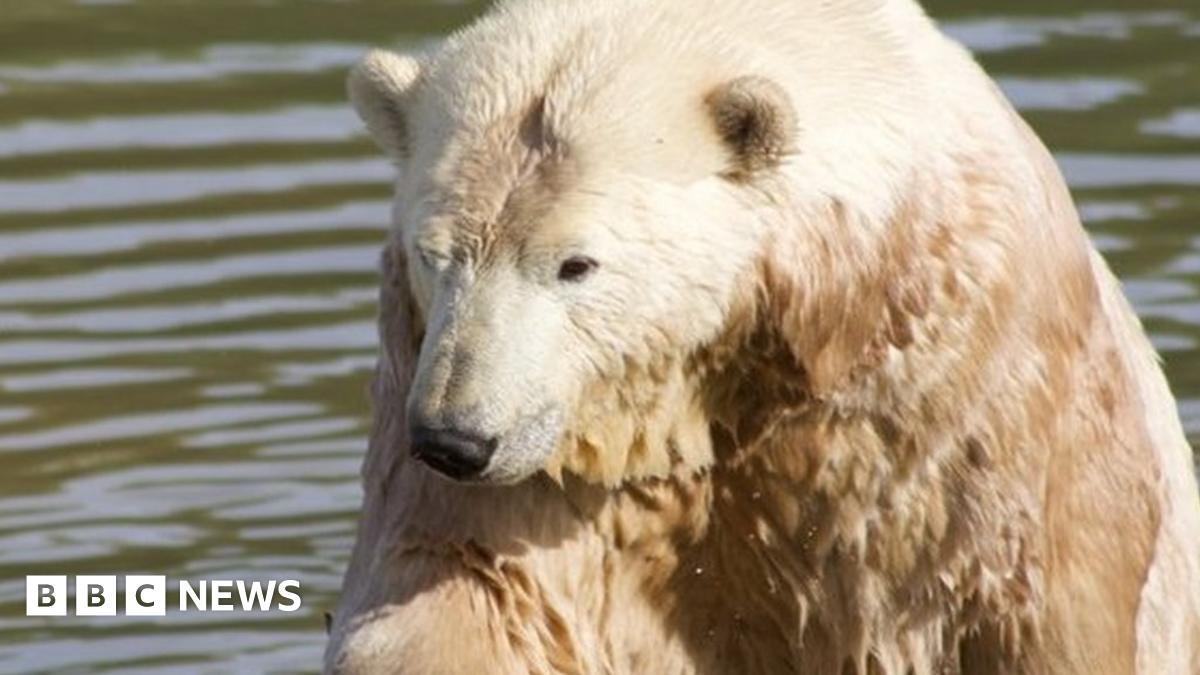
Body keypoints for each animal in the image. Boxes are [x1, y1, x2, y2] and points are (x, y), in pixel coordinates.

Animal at [325, 0, 1200, 673]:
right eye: (435, 253)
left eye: (576, 264)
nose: (455, 438)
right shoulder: (527, 436)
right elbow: (465, 590)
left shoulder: (965, 392)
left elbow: (1029, 600)